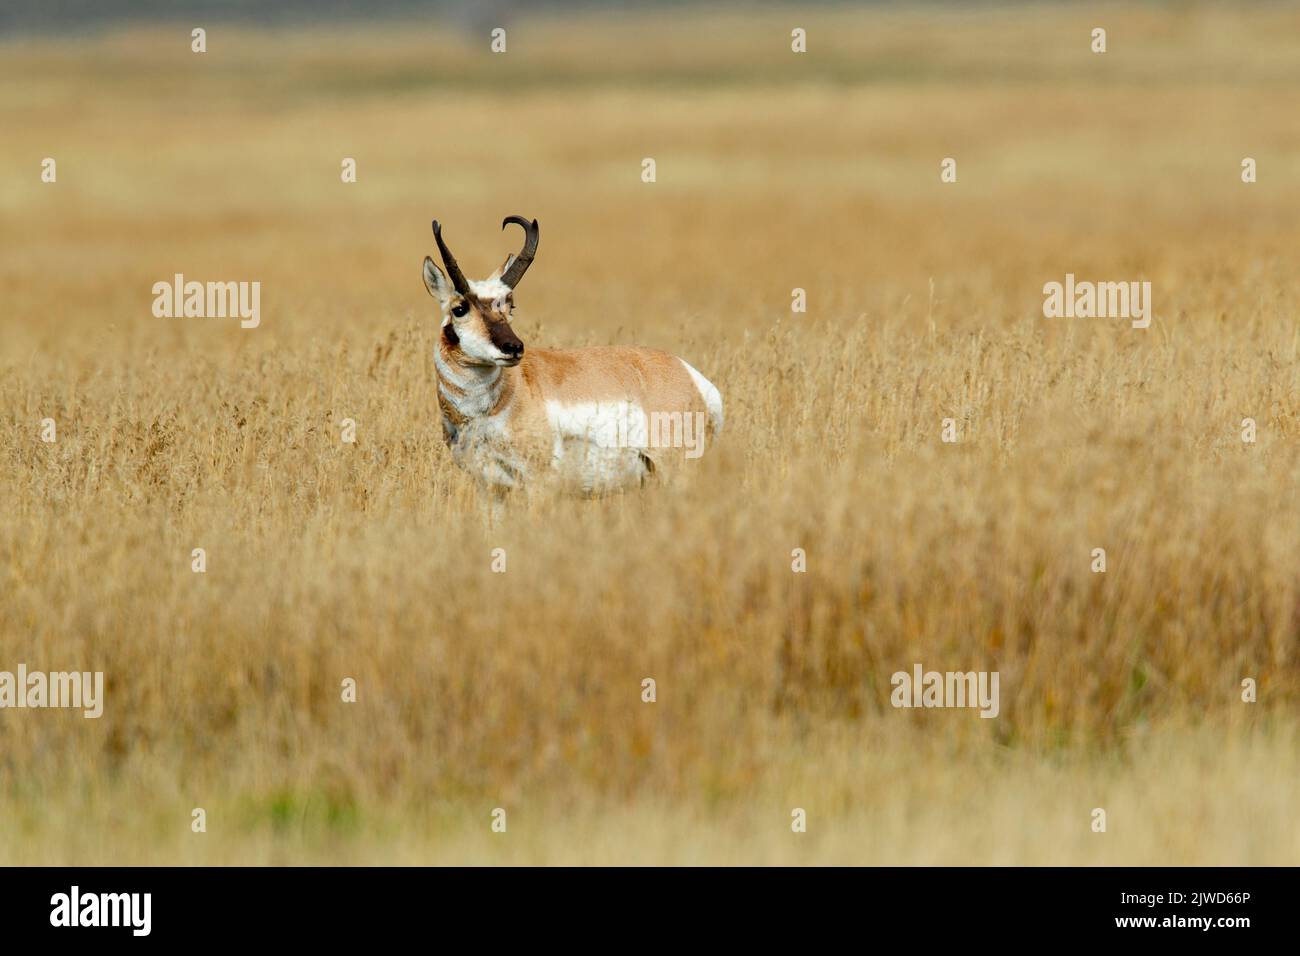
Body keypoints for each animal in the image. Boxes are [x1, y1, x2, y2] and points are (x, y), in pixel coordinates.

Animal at [423, 216, 723, 495]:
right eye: (459, 308)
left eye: (509, 306)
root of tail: (694, 379)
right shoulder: (490, 488)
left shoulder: (538, 485)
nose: (514, 347)